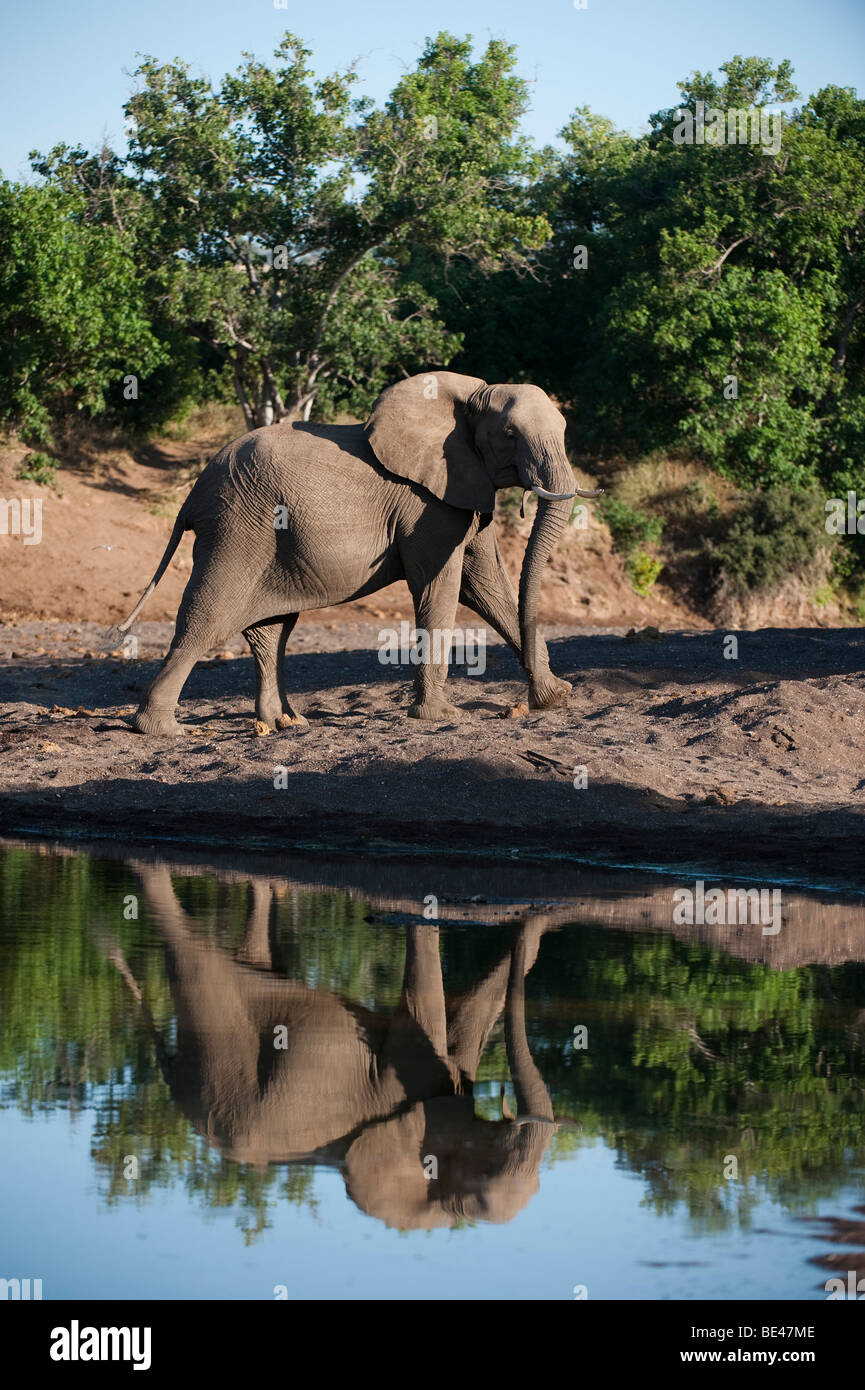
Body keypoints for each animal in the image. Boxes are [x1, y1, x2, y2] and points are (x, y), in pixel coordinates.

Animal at [115, 371, 600, 734]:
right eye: (509, 433)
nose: (531, 701)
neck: (468, 397)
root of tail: (192, 494)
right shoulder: (427, 502)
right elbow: (441, 588)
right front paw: (443, 717)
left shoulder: (462, 489)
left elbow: (486, 586)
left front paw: (555, 697)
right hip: (238, 530)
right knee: (206, 620)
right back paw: (161, 729)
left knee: (272, 630)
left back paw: (288, 723)